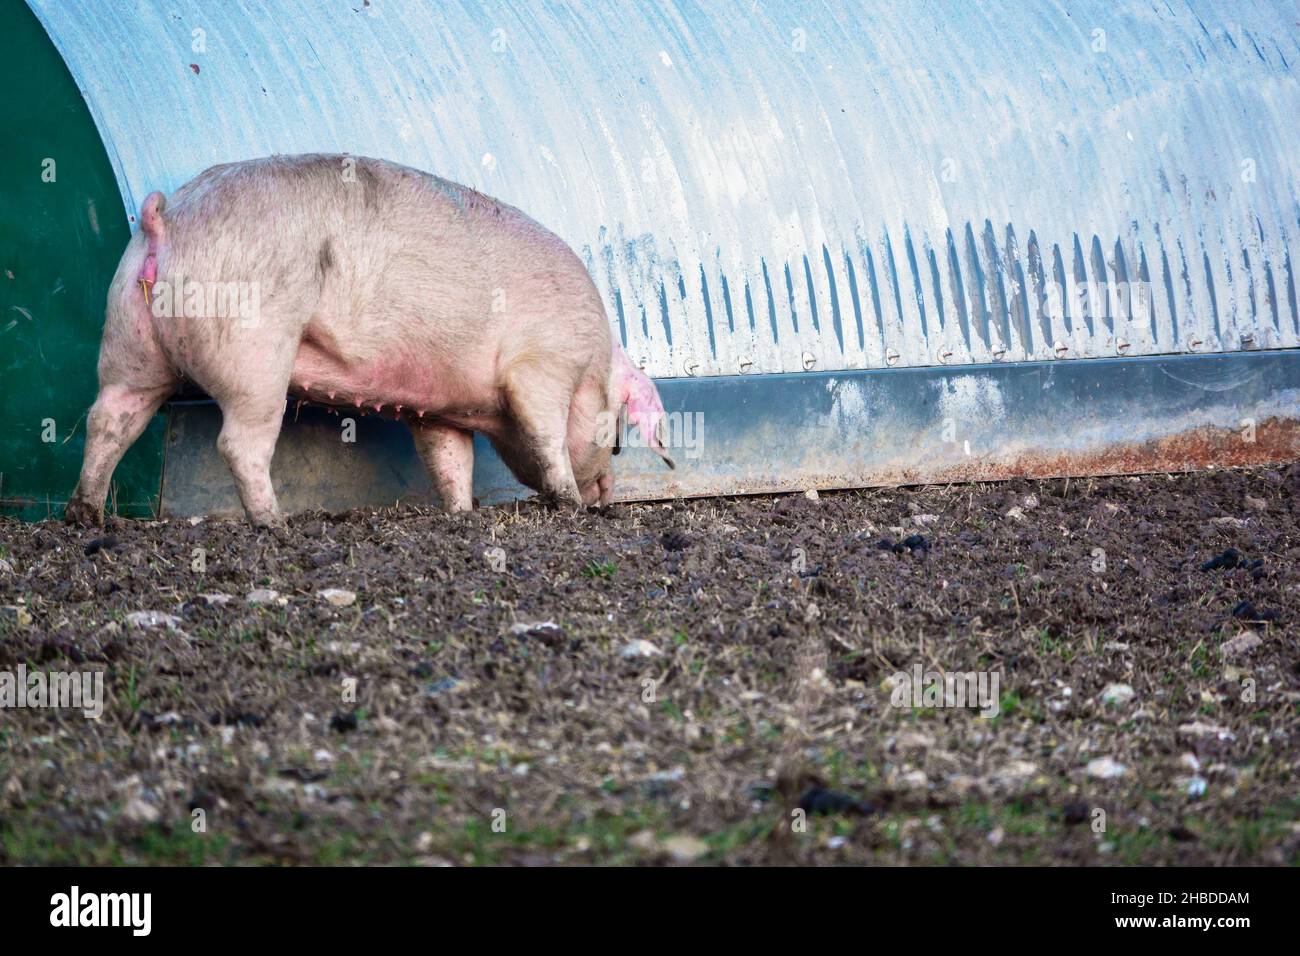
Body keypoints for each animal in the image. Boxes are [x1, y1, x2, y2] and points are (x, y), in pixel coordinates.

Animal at [64, 154, 674, 528]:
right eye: (616, 440)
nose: (607, 494)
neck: (593, 360)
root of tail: (166, 219)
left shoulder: (441, 407)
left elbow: (450, 459)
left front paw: (462, 513)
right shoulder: (541, 366)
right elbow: (546, 436)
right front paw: (567, 504)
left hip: (130, 339)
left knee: (110, 417)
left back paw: (85, 515)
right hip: (254, 350)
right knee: (238, 442)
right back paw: (276, 525)